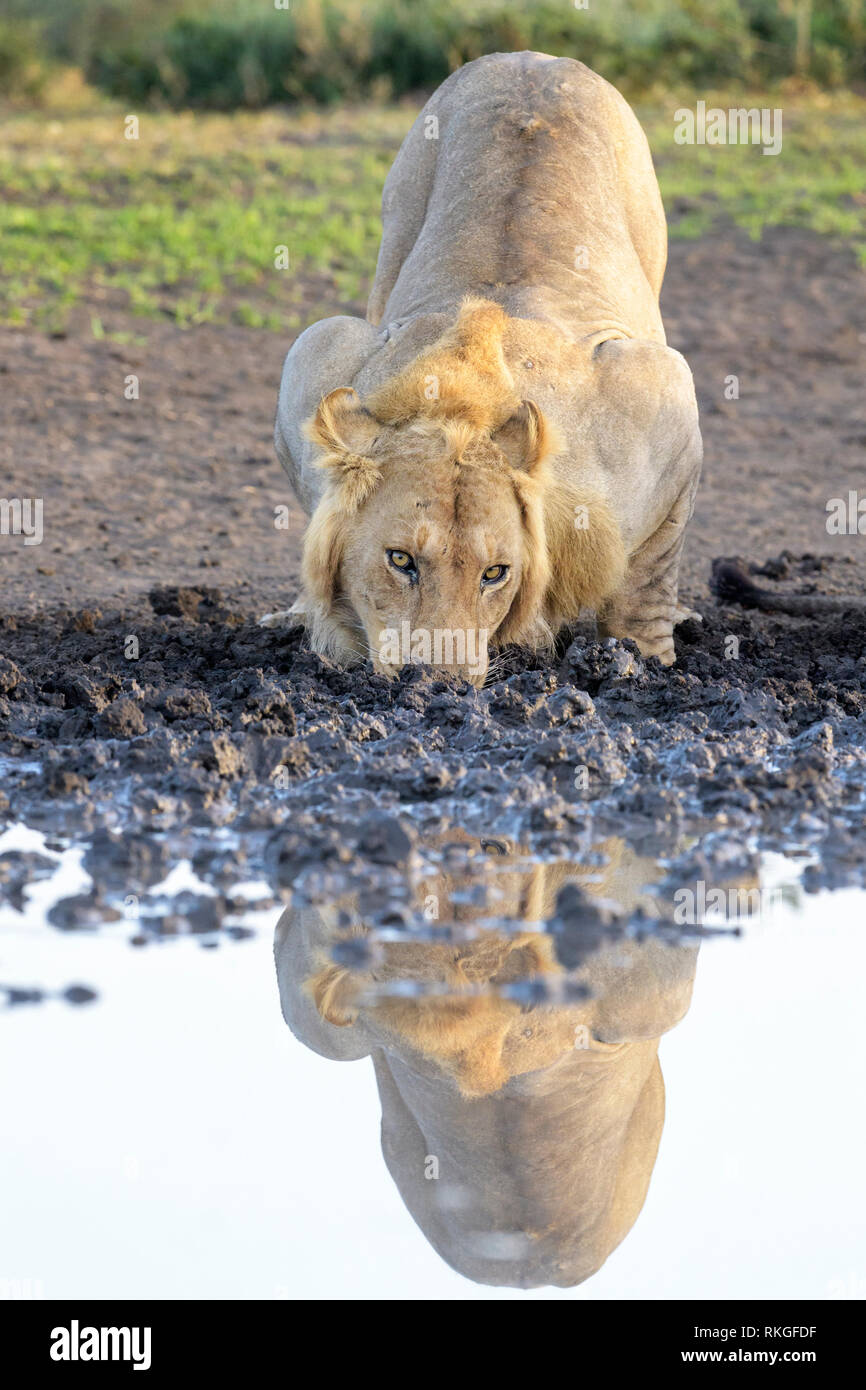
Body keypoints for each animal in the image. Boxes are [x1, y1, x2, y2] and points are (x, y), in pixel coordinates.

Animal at [271, 52, 703, 682]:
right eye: (400, 560)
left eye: (494, 573)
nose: (436, 686)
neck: (460, 406)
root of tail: (533, 58)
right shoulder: (317, 354)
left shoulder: (664, 406)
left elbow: (647, 579)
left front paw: (645, 665)